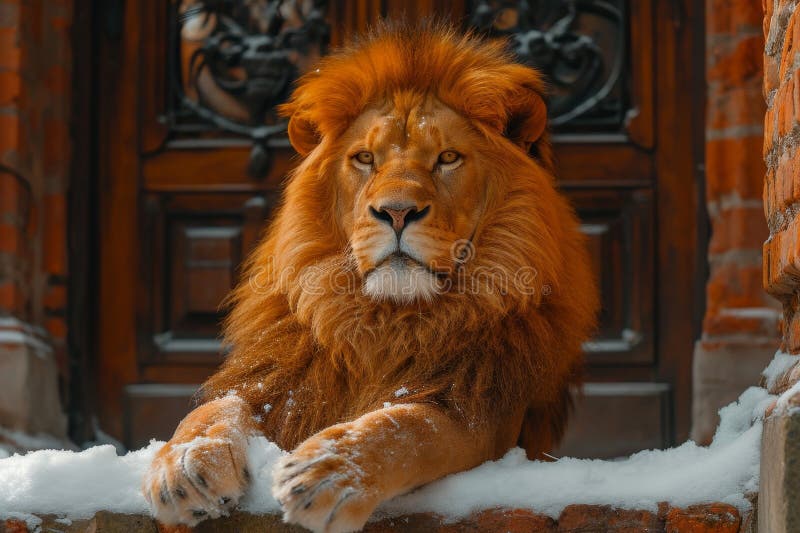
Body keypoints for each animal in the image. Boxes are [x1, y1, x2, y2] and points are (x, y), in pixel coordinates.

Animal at [143, 22, 598, 533]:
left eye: (447, 157)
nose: (397, 212)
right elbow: (217, 408)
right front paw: (186, 464)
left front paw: (330, 473)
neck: (384, 321)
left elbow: (409, 425)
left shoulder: (481, 412)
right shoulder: (277, 381)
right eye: (365, 158)